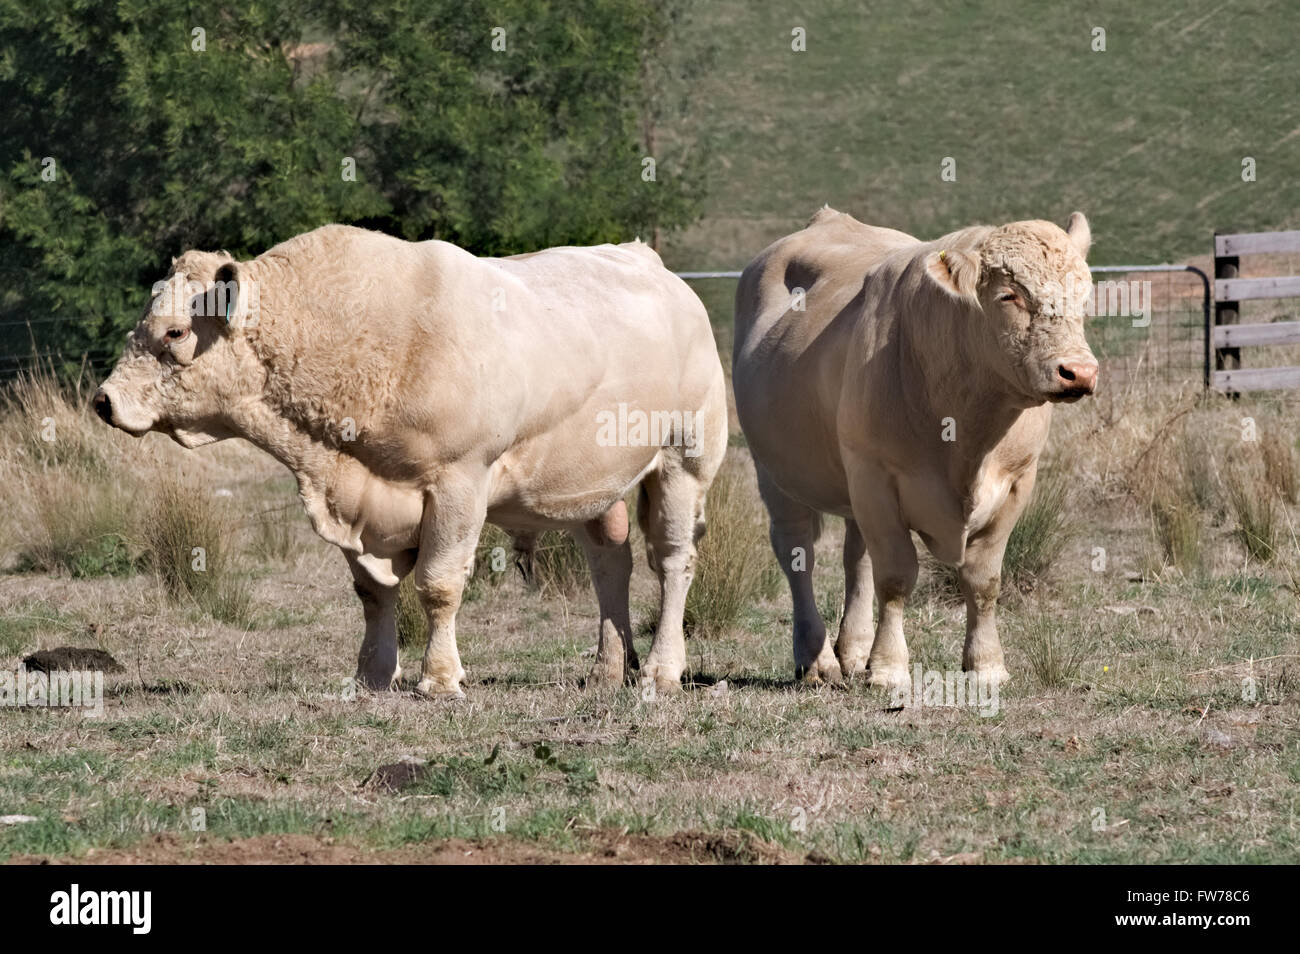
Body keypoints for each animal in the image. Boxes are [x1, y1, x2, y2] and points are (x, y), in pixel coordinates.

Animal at [93, 225, 727, 697]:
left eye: (175, 332)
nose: (104, 400)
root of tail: (649, 260)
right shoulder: (361, 497)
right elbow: (373, 592)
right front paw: (372, 674)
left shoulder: (459, 482)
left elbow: (438, 584)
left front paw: (439, 677)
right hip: (593, 483)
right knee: (609, 563)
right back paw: (607, 667)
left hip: (684, 460)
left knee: (673, 562)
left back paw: (661, 670)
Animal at [732, 207, 1097, 690]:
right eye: (1009, 295)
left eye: (1084, 296)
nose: (1079, 371)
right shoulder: (876, 476)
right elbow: (896, 577)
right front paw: (888, 667)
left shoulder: (1020, 479)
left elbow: (983, 579)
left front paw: (987, 664)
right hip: (776, 471)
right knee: (797, 554)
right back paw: (817, 660)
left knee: (855, 557)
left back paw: (853, 652)